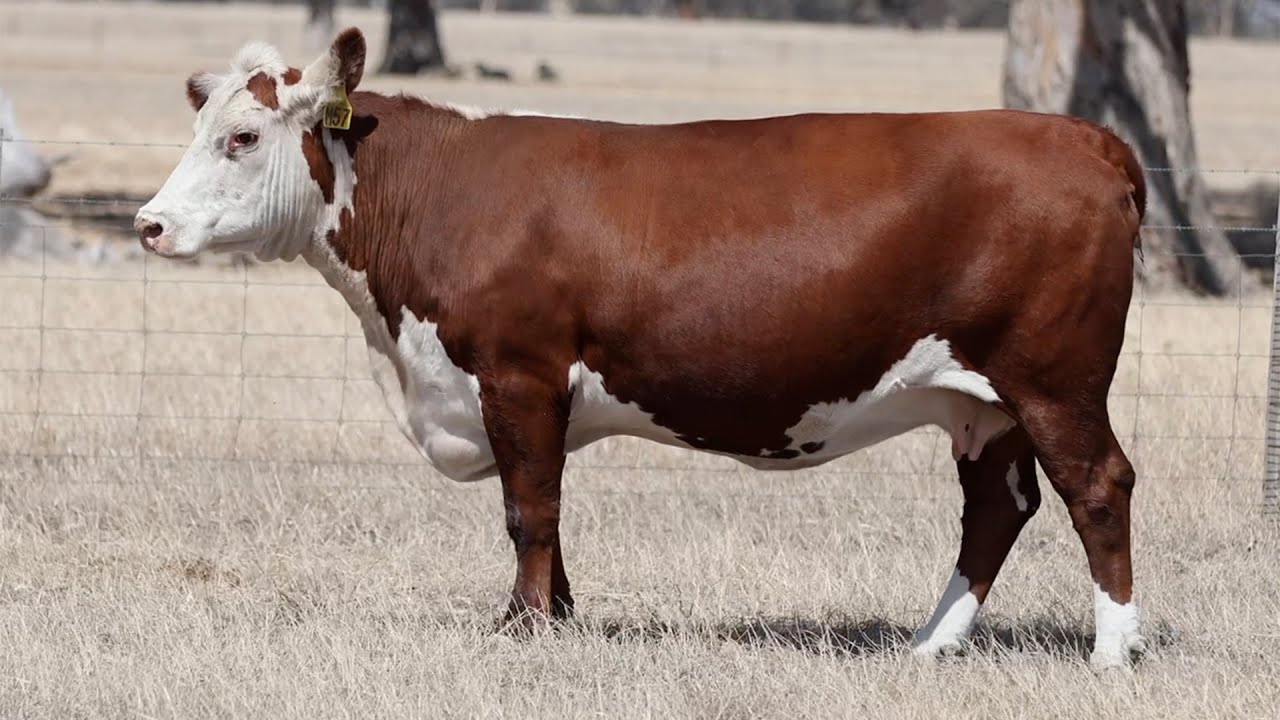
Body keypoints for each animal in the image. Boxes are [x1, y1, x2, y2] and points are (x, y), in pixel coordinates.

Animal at [134, 28, 1148, 671]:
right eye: (200, 129)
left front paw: (523, 630)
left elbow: (529, 511)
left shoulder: (517, 372)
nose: (149, 224)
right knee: (998, 508)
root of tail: (1079, 136)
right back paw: (930, 644)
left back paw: (1113, 651)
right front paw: (557, 616)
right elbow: (543, 512)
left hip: (1053, 381)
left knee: (1097, 487)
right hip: (983, 402)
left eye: (242, 136)